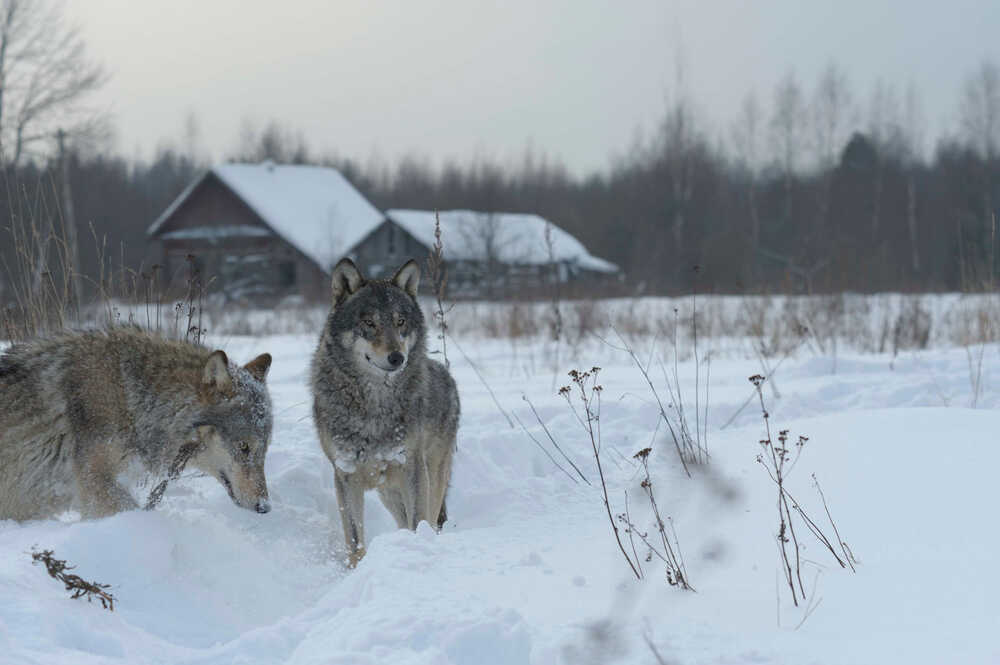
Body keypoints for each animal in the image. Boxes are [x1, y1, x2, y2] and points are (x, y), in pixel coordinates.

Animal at [311, 258, 460, 567]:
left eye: (400, 322)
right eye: (369, 323)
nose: (397, 357)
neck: (374, 407)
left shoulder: (412, 469)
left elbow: (419, 522)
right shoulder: (345, 475)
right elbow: (354, 539)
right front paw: (356, 570)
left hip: (431, 477)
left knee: (430, 519)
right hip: (388, 492)